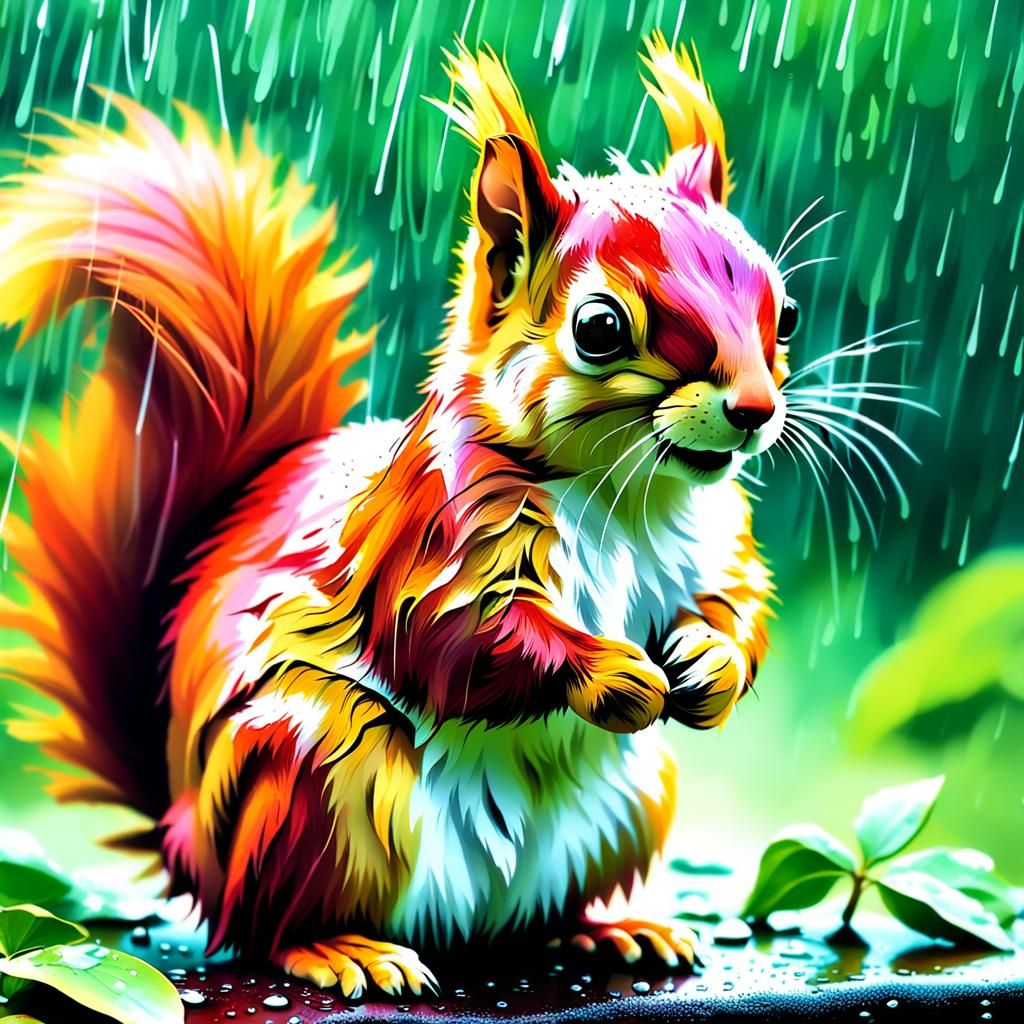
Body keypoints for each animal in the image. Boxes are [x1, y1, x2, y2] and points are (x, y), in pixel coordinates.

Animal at [0, 35, 794, 996]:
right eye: (600, 328)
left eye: (785, 312)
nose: (755, 409)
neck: (626, 495)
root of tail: (186, 839)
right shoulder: (436, 534)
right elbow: (457, 637)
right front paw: (615, 674)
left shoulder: (717, 540)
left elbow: (737, 607)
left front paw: (708, 664)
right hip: (313, 769)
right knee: (268, 925)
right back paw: (346, 948)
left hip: (631, 806)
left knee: (542, 920)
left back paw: (609, 929)